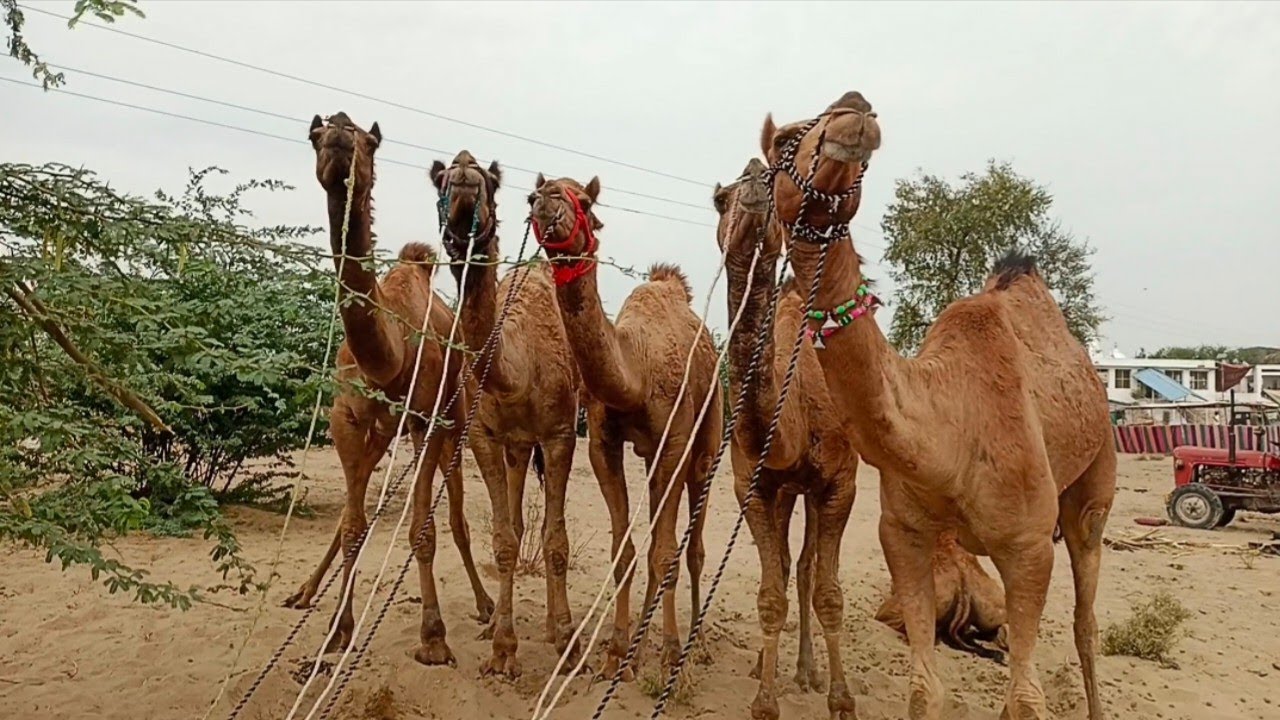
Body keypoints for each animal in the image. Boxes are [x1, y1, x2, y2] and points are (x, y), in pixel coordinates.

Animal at [296, 112, 492, 667]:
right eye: (315, 135)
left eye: (369, 141)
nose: (340, 132)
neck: (389, 355)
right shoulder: (347, 420)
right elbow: (351, 526)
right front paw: (337, 631)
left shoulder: (426, 422)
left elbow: (423, 528)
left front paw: (434, 637)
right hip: (384, 431)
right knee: (354, 512)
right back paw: (304, 591)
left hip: (455, 420)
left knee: (457, 516)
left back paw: (486, 606)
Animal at [428, 152, 582, 677]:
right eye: (439, 181)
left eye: (491, 185)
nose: (464, 174)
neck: (518, 369)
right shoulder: (484, 437)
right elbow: (503, 539)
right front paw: (502, 649)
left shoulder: (560, 435)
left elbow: (555, 540)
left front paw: (567, 639)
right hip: (515, 447)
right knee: (515, 521)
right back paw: (498, 623)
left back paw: (555, 625)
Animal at [529, 174, 723, 680]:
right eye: (538, 192)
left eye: (585, 200)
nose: (544, 200)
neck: (636, 371)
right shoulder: (602, 442)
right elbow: (627, 552)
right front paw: (617, 651)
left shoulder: (674, 442)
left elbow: (667, 551)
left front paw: (670, 653)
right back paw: (641, 639)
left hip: (707, 439)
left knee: (692, 546)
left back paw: (695, 640)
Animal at [712, 158, 861, 719]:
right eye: (720, 200)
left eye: (775, 189)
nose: (754, 179)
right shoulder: (750, 487)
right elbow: (769, 592)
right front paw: (764, 700)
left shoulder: (839, 485)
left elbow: (828, 592)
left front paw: (841, 698)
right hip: (782, 493)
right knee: (784, 565)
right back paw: (767, 665)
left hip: (813, 491)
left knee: (806, 568)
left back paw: (808, 671)